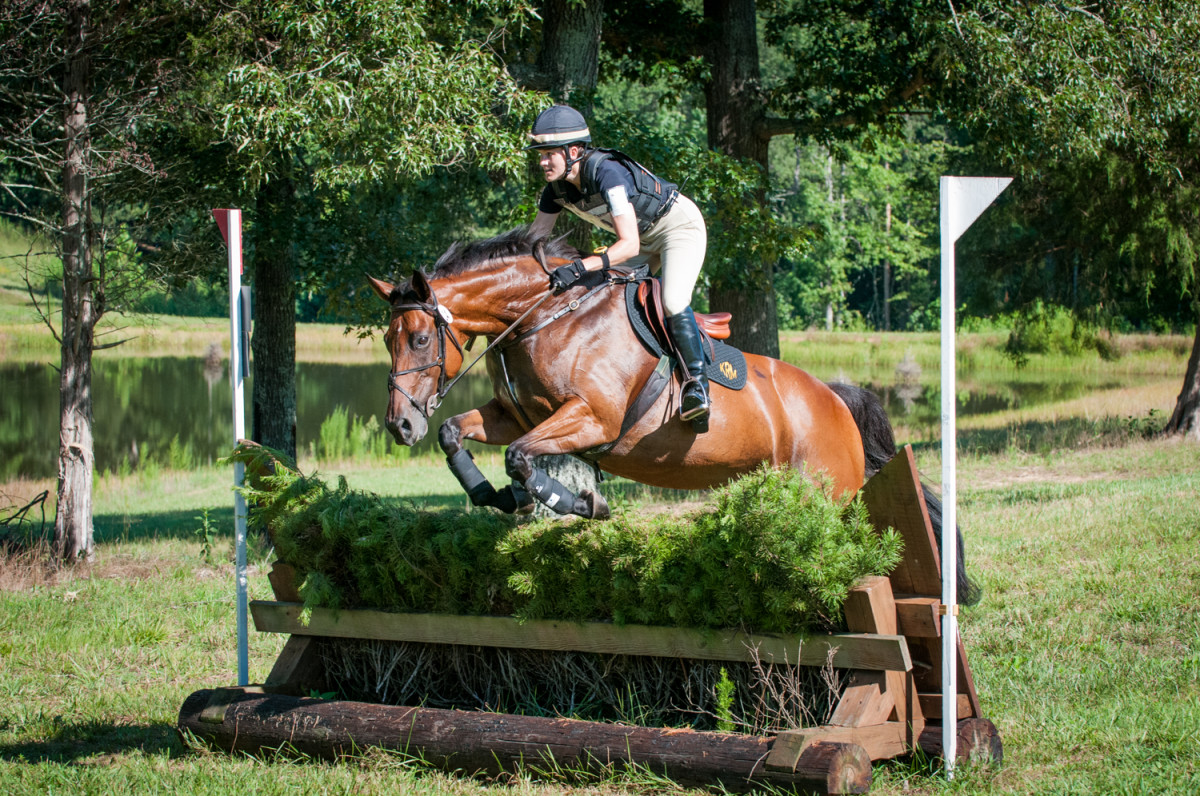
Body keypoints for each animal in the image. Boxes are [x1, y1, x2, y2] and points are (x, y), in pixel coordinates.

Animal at [369, 227, 978, 603]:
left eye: (419, 339)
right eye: (386, 339)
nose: (400, 425)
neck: (548, 316)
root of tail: (834, 399)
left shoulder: (591, 419)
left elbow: (522, 457)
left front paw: (581, 503)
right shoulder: (514, 415)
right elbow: (456, 433)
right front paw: (496, 497)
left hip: (825, 494)